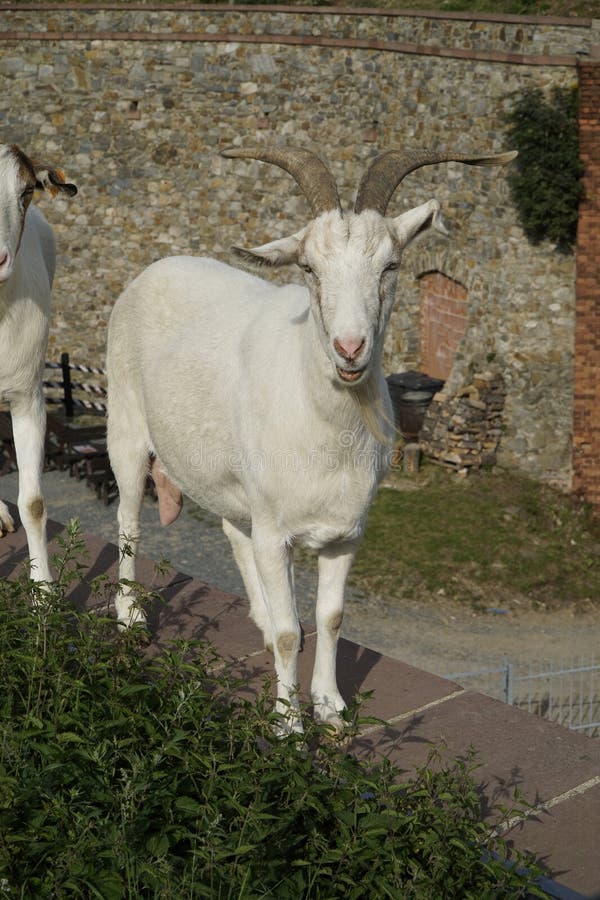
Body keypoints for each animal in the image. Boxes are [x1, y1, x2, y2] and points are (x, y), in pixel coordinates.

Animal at [107, 145, 514, 730]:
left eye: (390, 265)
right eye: (308, 268)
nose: (350, 348)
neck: (327, 434)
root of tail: (152, 270)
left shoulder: (347, 531)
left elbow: (332, 616)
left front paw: (331, 706)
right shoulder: (277, 532)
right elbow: (284, 634)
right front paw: (290, 725)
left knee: (232, 529)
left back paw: (255, 614)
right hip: (126, 428)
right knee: (127, 520)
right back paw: (130, 615)